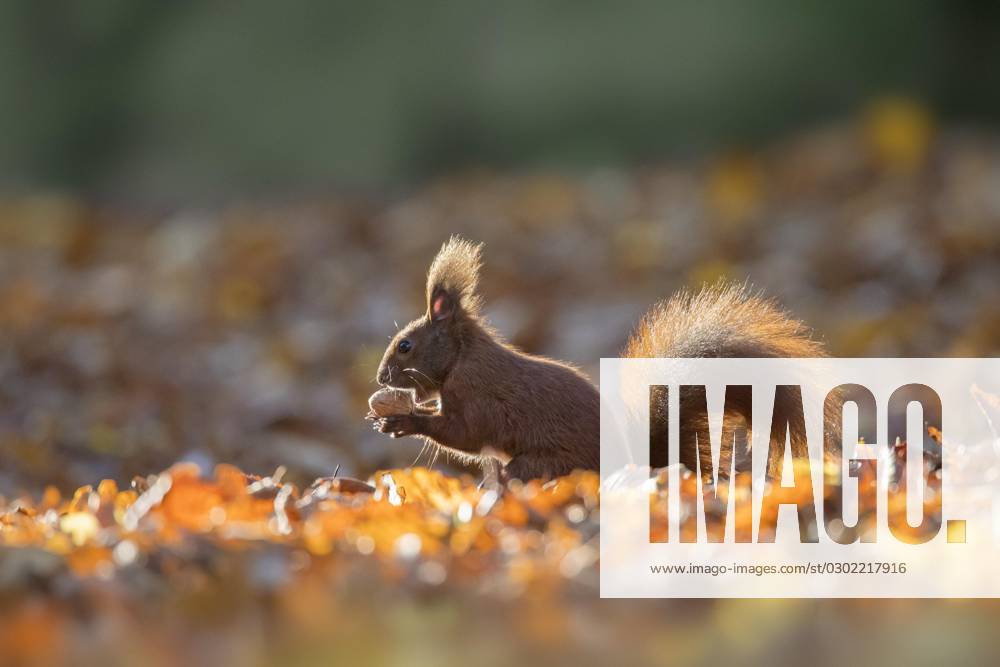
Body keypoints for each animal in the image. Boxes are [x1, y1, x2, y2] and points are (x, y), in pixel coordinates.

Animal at [372, 236, 829, 481]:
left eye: (405, 345)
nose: (380, 378)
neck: (463, 355)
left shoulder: (477, 395)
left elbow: (462, 434)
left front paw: (403, 421)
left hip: (541, 466)